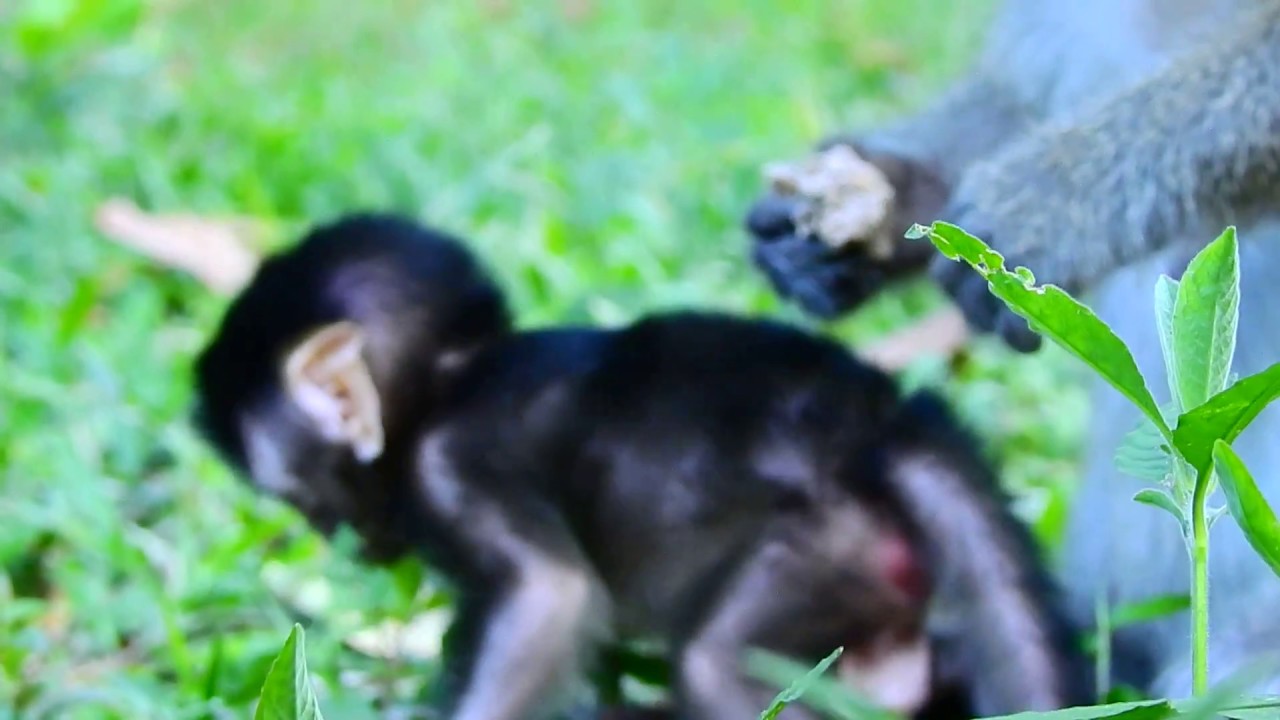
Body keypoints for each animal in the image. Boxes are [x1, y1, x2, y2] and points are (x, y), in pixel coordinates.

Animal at [191, 212, 1091, 719]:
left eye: (300, 499)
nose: (348, 541)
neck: (450, 380)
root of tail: (877, 422)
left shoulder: (452, 465)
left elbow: (549, 601)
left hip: (828, 545)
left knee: (715, 666)